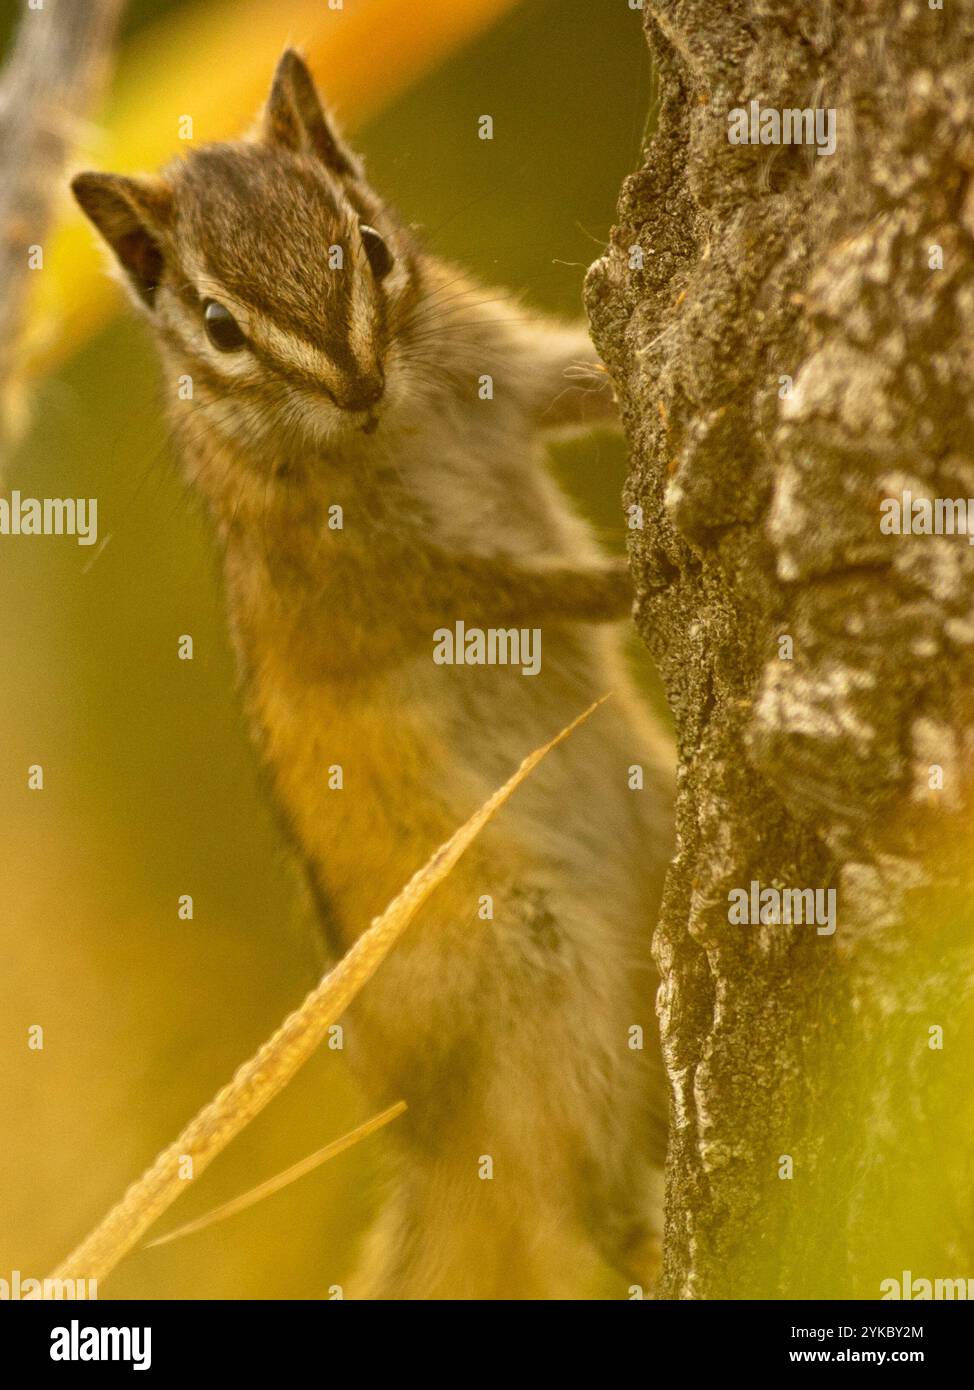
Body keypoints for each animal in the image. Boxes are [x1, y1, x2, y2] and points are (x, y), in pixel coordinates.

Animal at [72, 49, 675, 1300]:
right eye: (218, 324)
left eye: (365, 242)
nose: (355, 384)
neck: (393, 423)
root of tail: (430, 1144)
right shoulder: (373, 576)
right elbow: (501, 592)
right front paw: (620, 580)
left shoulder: (503, 367)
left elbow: (583, 377)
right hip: (540, 981)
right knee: (571, 1201)